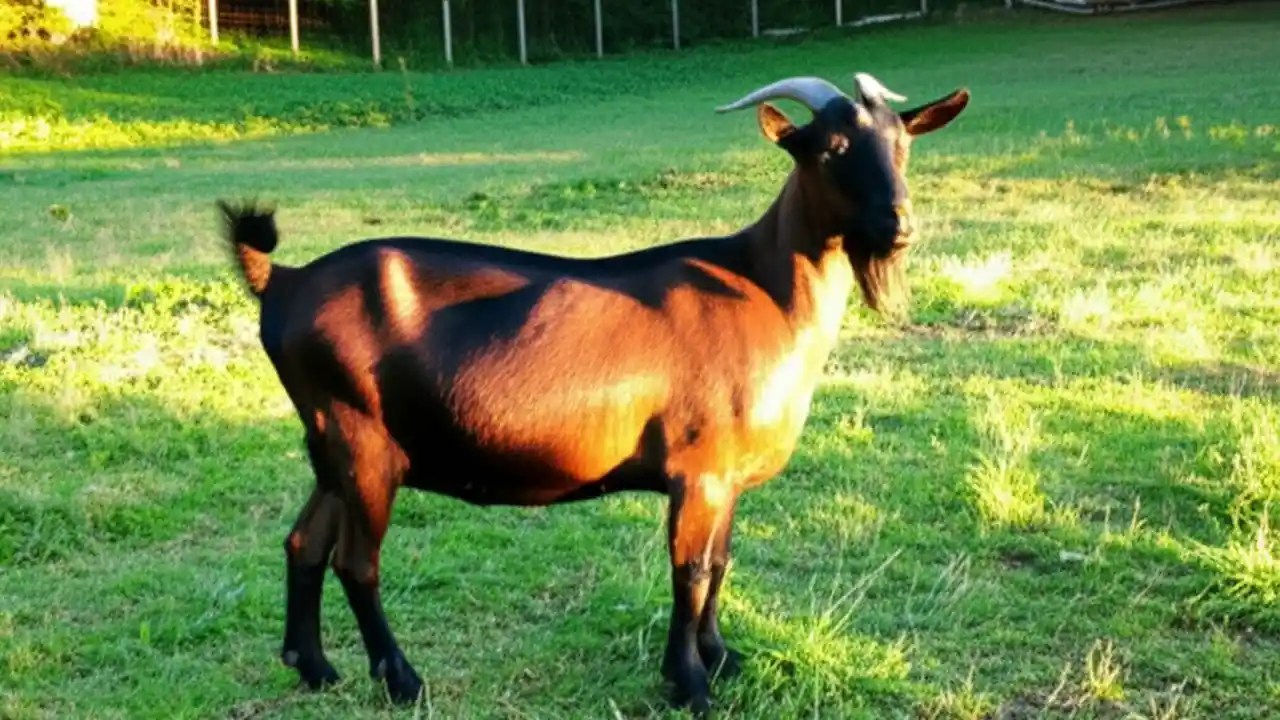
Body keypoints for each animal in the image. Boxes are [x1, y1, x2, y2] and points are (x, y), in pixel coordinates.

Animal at [218, 72, 968, 715]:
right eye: (833, 147)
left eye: (903, 144)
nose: (900, 224)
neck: (759, 288)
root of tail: (281, 280)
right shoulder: (697, 470)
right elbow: (692, 570)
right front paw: (689, 684)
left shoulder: (727, 478)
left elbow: (723, 563)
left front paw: (723, 659)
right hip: (363, 442)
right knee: (356, 561)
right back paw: (402, 681)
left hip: (328, 447)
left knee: (303, 543)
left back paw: (315, 668)